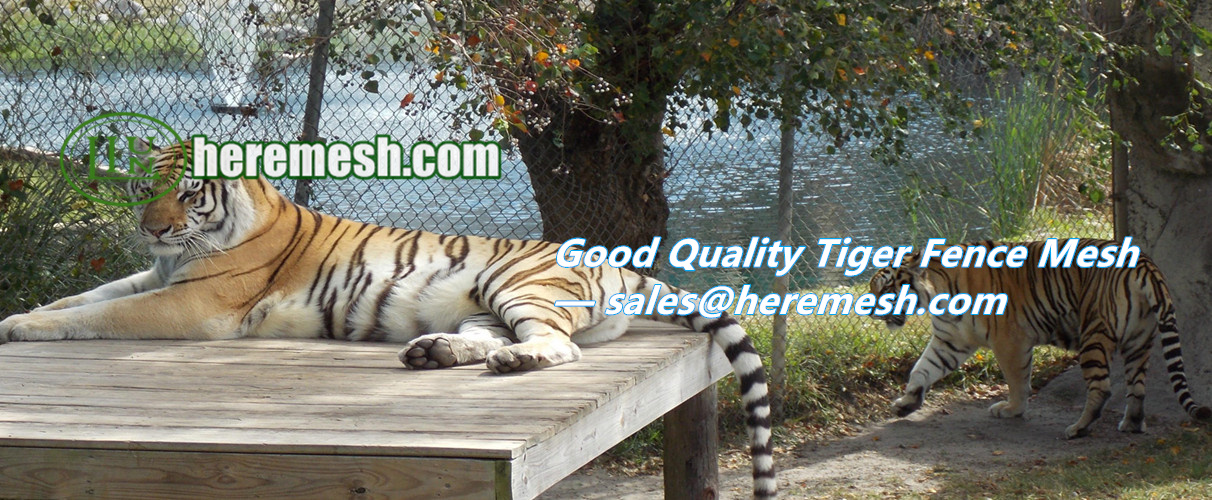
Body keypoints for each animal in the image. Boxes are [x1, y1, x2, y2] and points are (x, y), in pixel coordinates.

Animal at [0, 142, 777, 499]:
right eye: (146, 186)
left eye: (189, 193)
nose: (151, 227)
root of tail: (620, 263)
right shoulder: (159, 275)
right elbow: (86, 296)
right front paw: (20, 313)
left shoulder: (193, 301)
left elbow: (107, 311)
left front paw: (24, 329)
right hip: (488, 307)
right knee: (495, 341)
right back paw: (435, 353)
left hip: (516, 285)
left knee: (559, 350)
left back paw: (506, 361)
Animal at [868, 239, 1210, 439]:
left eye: (884, 289)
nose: (869, 311)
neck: (936, 294)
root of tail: (1146, 265)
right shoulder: (950, 341)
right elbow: (921, 370)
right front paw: (906, 405)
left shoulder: (1009, 341)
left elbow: (1018, 381)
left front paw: (1011, 410)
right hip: (1139, 340)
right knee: (1136, 388)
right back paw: (1132, 425)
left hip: (1095, 335)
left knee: (1102, 388)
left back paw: (1077, 429)